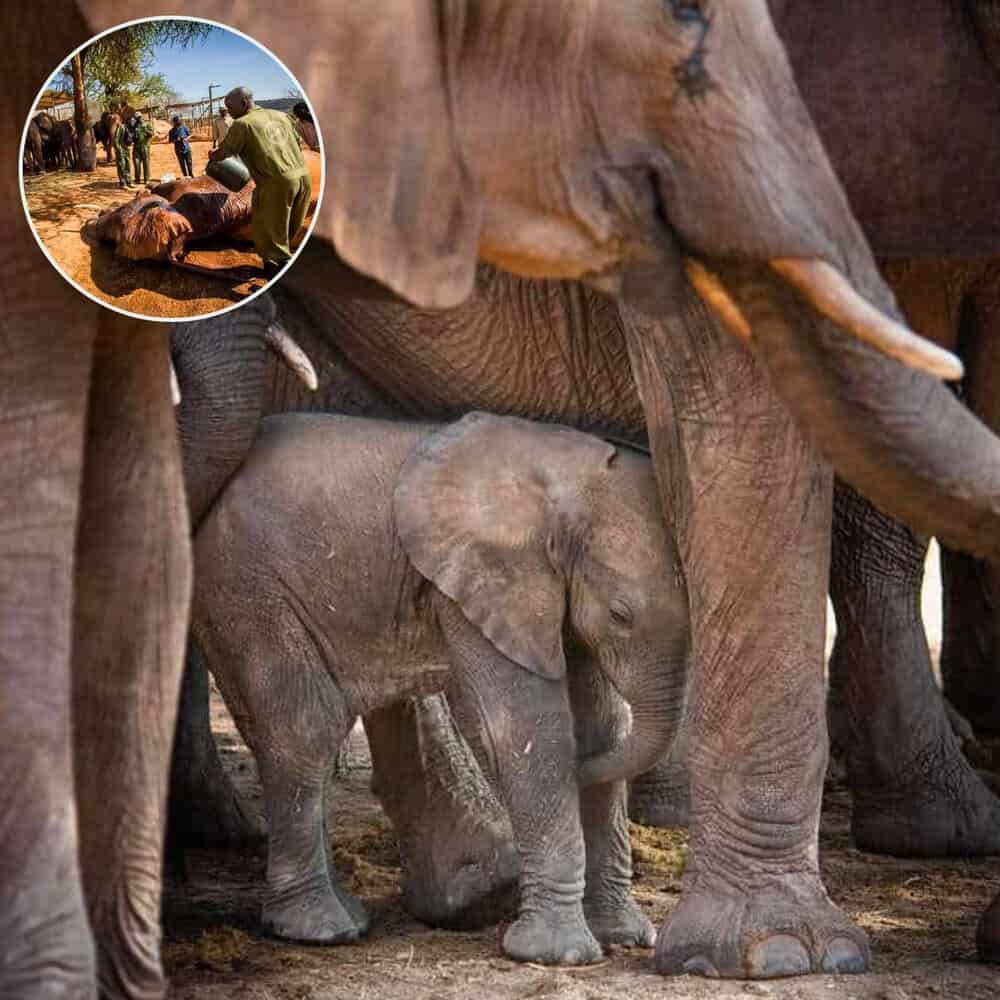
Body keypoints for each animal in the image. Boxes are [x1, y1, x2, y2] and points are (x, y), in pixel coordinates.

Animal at [192, 410, 688, 963]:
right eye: (621, 615)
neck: (563, 475)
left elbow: (602, 725)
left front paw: (623, 936)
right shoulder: (474, 585)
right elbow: (527, 729)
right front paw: (559, 955)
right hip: (247, 592)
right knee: (305, 729)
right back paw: (322, 929)